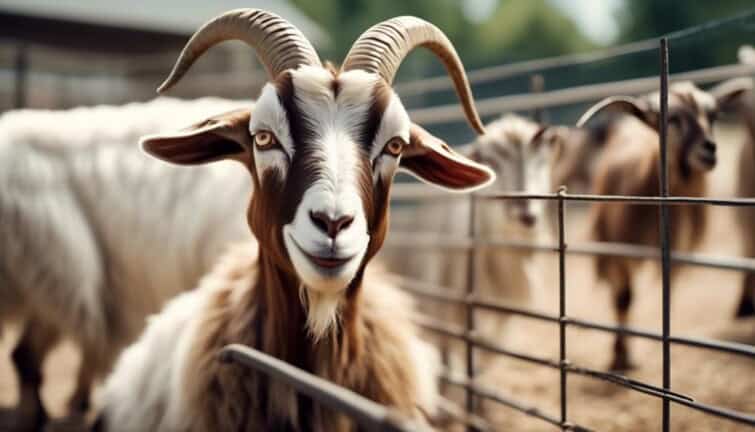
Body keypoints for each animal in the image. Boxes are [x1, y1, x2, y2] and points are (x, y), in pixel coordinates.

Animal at [578, 81, 747, 370]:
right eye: (672, 119)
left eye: (713, 116)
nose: (710, 149)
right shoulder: (617, 248)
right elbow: (624, 297)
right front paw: (619, 355)